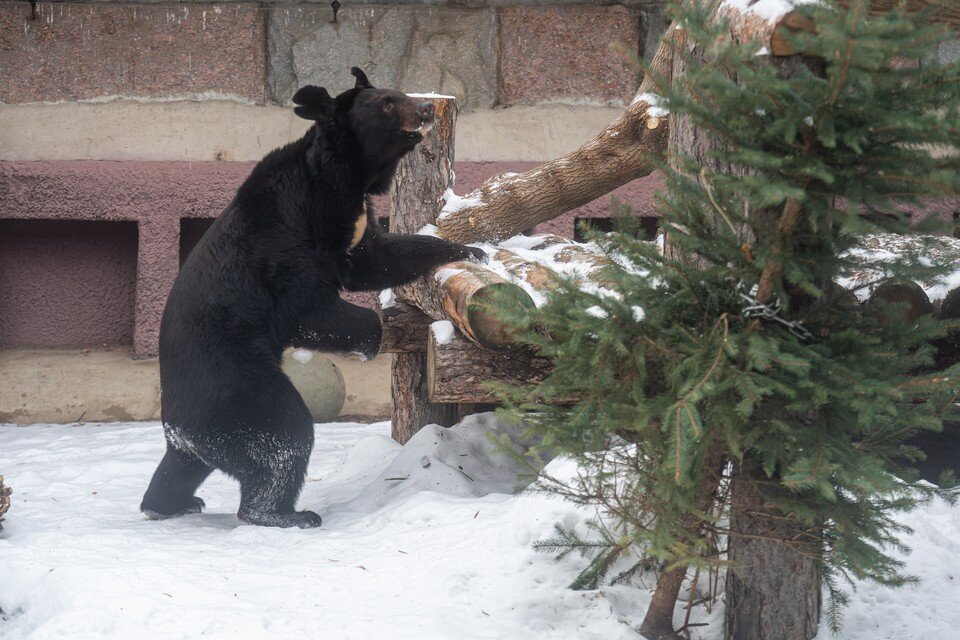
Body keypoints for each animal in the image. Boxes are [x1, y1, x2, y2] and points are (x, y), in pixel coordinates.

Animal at [141, 67, 488, 528]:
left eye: (401, 93)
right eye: (387, 104)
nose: (429, 107)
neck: (341, 179)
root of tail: (180, 428)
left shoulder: (351, 225)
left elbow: (379, 257)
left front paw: (470, 251)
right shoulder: (286, 241)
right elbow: (305, 308)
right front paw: (379, 333)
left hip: (200, 426)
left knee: (181, 466)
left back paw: (171, 504)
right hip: (238, 382)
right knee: (283, 436)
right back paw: (286, 514)